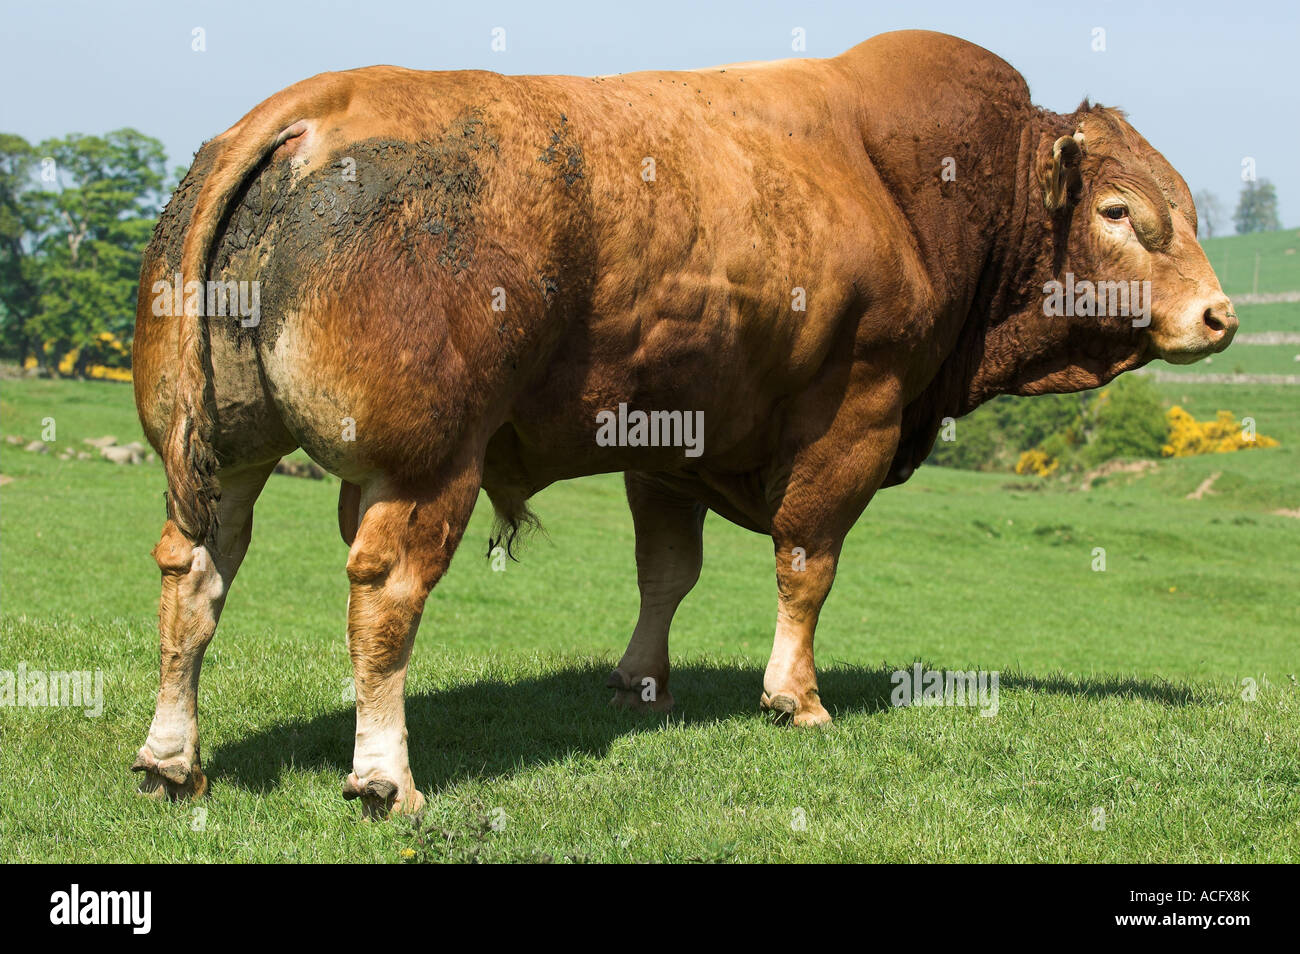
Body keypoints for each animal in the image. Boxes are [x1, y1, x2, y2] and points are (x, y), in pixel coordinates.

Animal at [130, 30, 1236, 817]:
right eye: (1122, 213)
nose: (1220, 315)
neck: (925, 190)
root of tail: (314, 107)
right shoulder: (857, 417)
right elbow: (807, 564)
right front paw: (796, 697)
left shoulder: (664, 441)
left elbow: (665, 573)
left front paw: (640, 681)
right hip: (426, 464)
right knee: (384, 596)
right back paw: (384, 778)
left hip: (222, 452)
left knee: (195, 572)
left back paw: (172, 758)